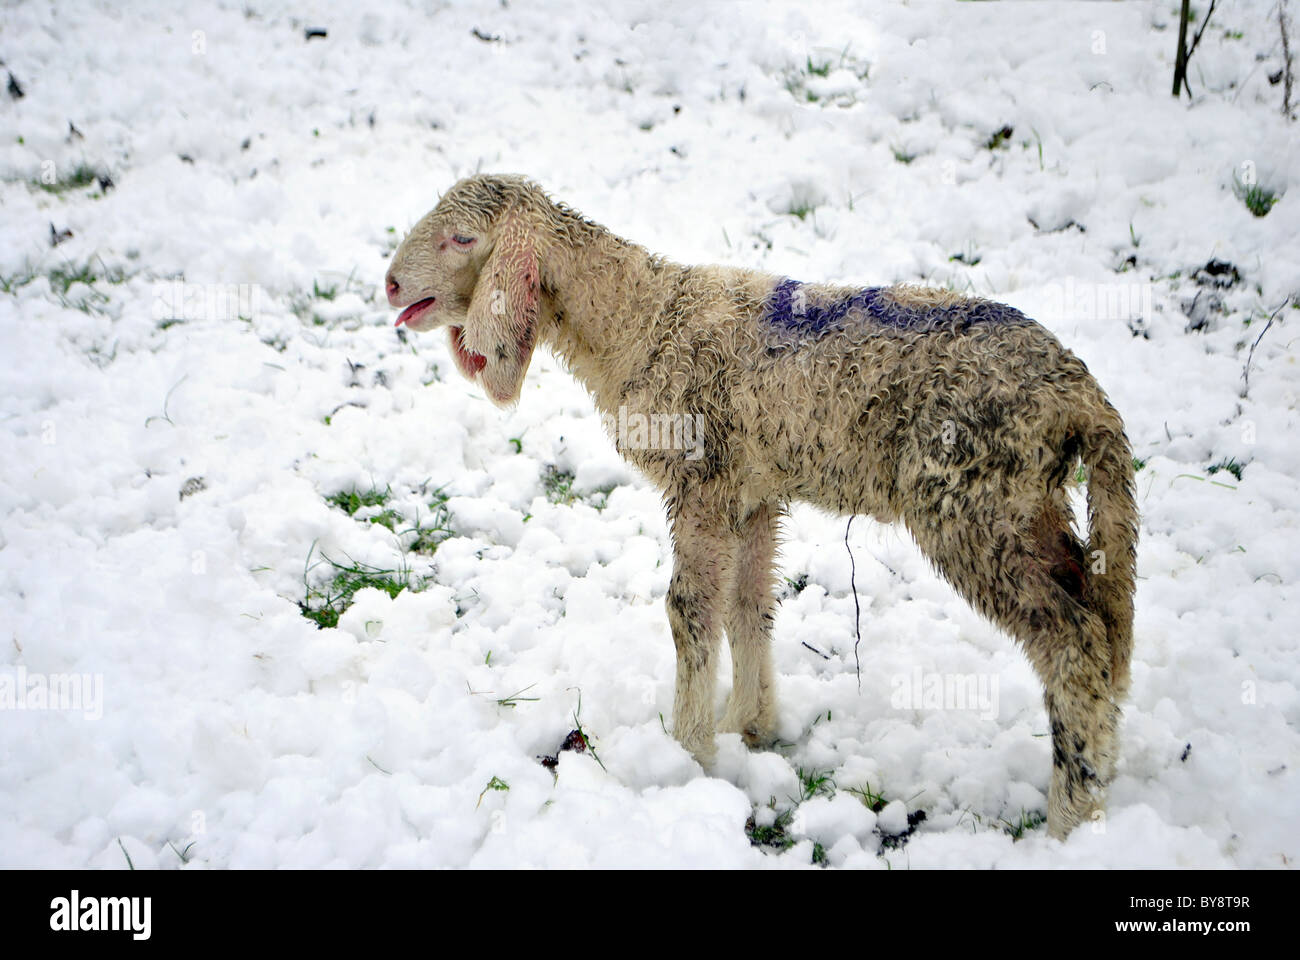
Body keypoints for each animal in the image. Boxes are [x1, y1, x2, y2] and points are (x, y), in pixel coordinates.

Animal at [385, 174, 1139, 841]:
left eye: (462, 238)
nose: (390, 284)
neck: (638, 318)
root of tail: (1082, 397)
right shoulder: (749, 492)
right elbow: (746, 606)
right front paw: (747, 727)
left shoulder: (701, 479)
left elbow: (690, 611)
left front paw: (688, 753)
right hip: (1031, 503)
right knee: (1104, 620)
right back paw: (1100, 773)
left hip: (972, 501)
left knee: (1072, 642)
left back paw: (1070, 821)